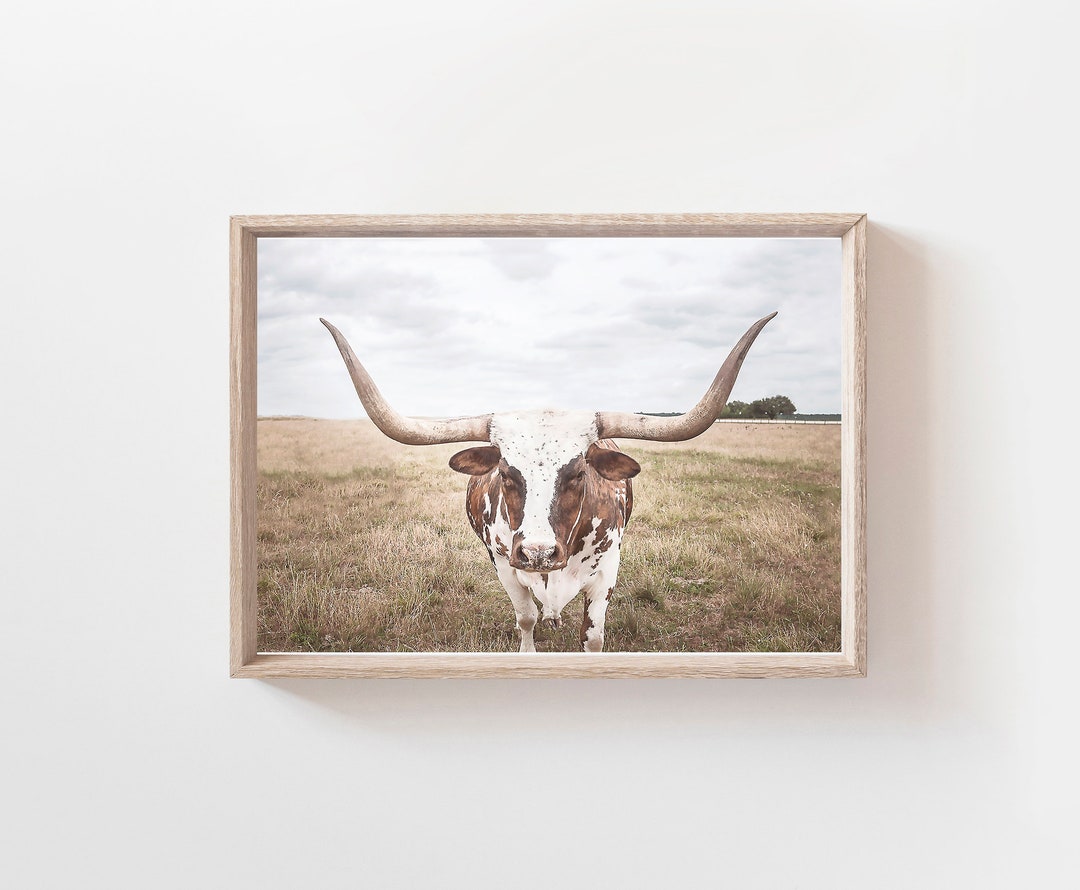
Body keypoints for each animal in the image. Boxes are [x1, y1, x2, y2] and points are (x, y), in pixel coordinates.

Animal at [320, 312, 776, 653]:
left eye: (578, 472)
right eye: (506, 472)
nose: (539, 552)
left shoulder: (608, 569)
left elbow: (593, 636)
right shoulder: (504, 563)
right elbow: (525, 618)